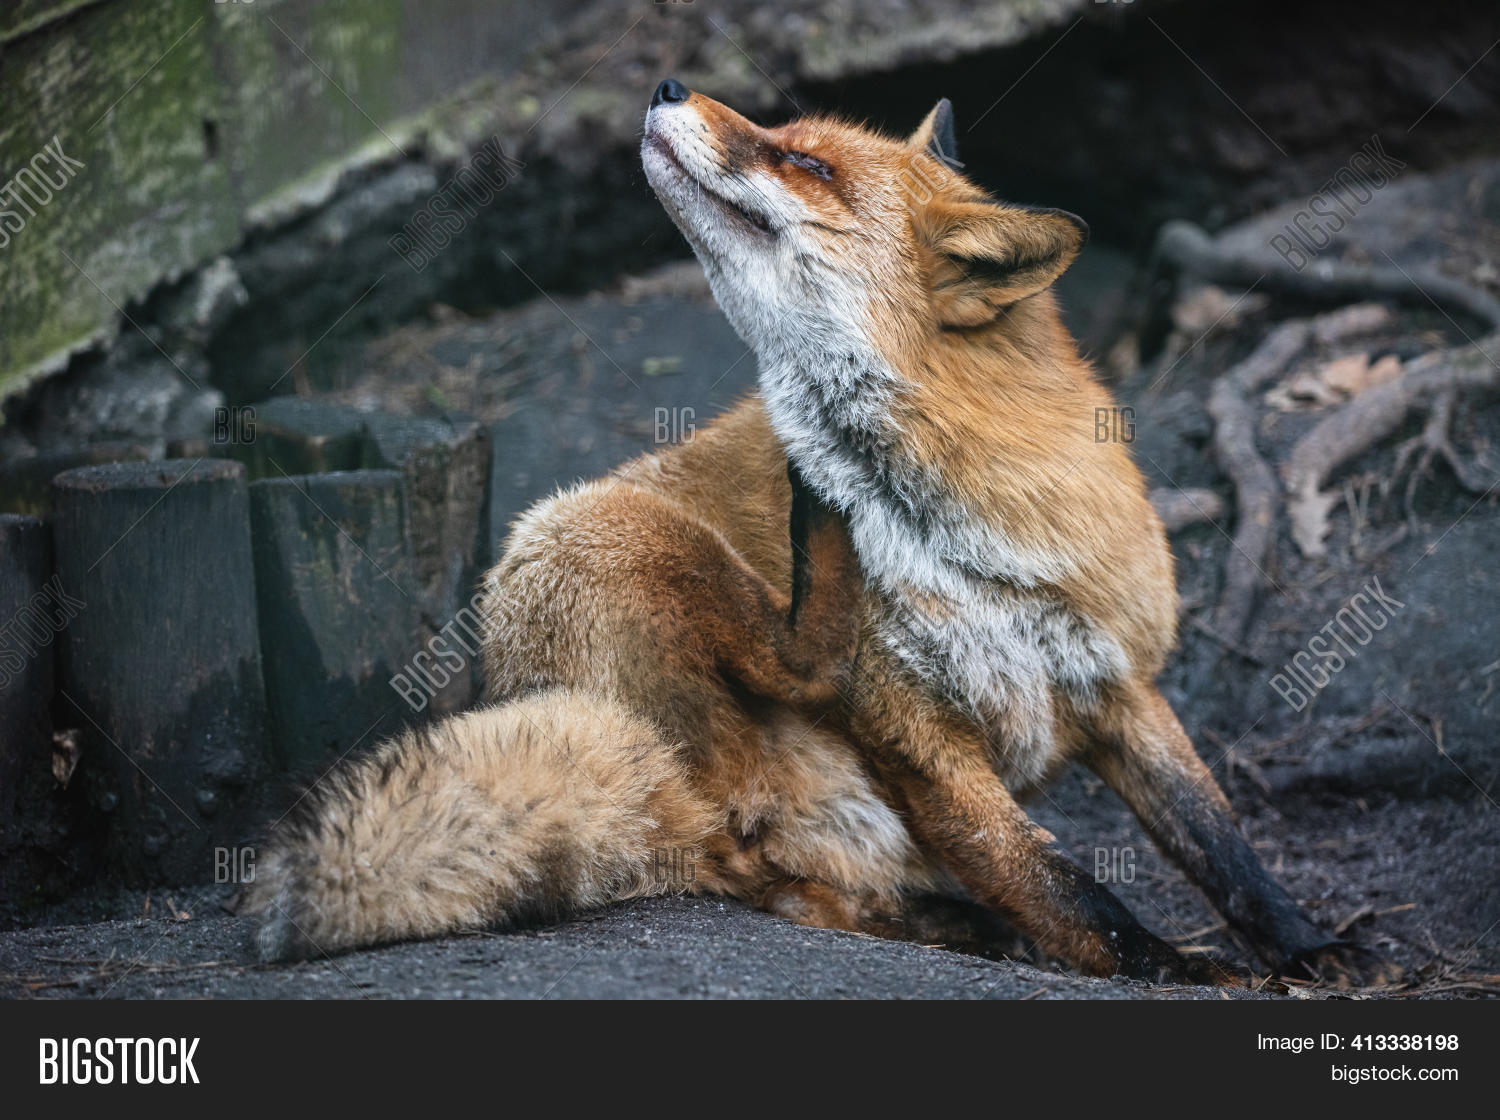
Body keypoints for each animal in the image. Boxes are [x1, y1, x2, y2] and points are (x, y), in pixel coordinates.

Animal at [243, 80, 1391, 986]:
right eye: (785, 135)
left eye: (804, 161)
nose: (666, 84)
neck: (963, 536)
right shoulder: (914, 725)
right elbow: (1058, 880)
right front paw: (1168, 966)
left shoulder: (1119, 679)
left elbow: (1218, 840)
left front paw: (1305, 947)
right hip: (594, 529)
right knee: (768, 802)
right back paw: (821, 547)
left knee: (813, 887)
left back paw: (952, 919)